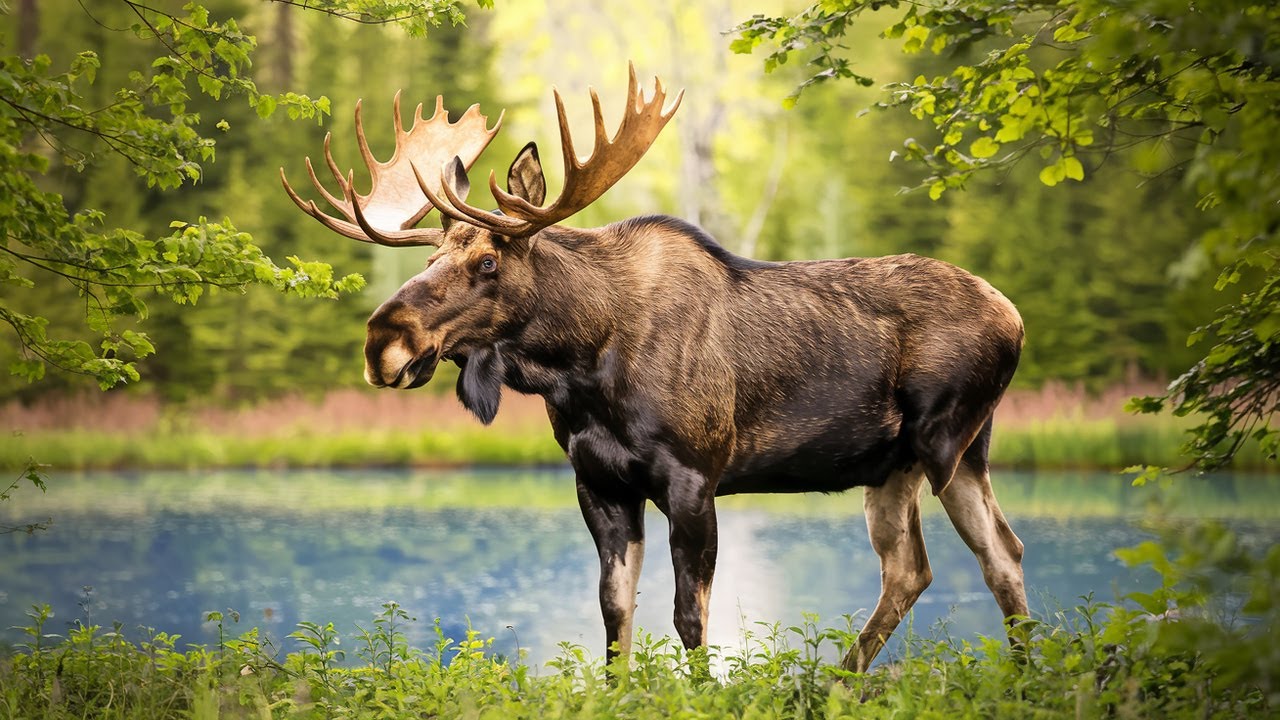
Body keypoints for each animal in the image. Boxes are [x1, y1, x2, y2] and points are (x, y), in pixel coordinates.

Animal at [280, 64, 1029, 673]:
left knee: (945, 561)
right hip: (932, 458)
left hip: (934, 445)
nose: (383, 340)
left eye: (487, 262)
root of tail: (1016, 317)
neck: (581, 369)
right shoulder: (598, 482)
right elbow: (615, 613)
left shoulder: (695, 478)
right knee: (974, 557)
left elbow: (688, 617)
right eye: (431, 259)